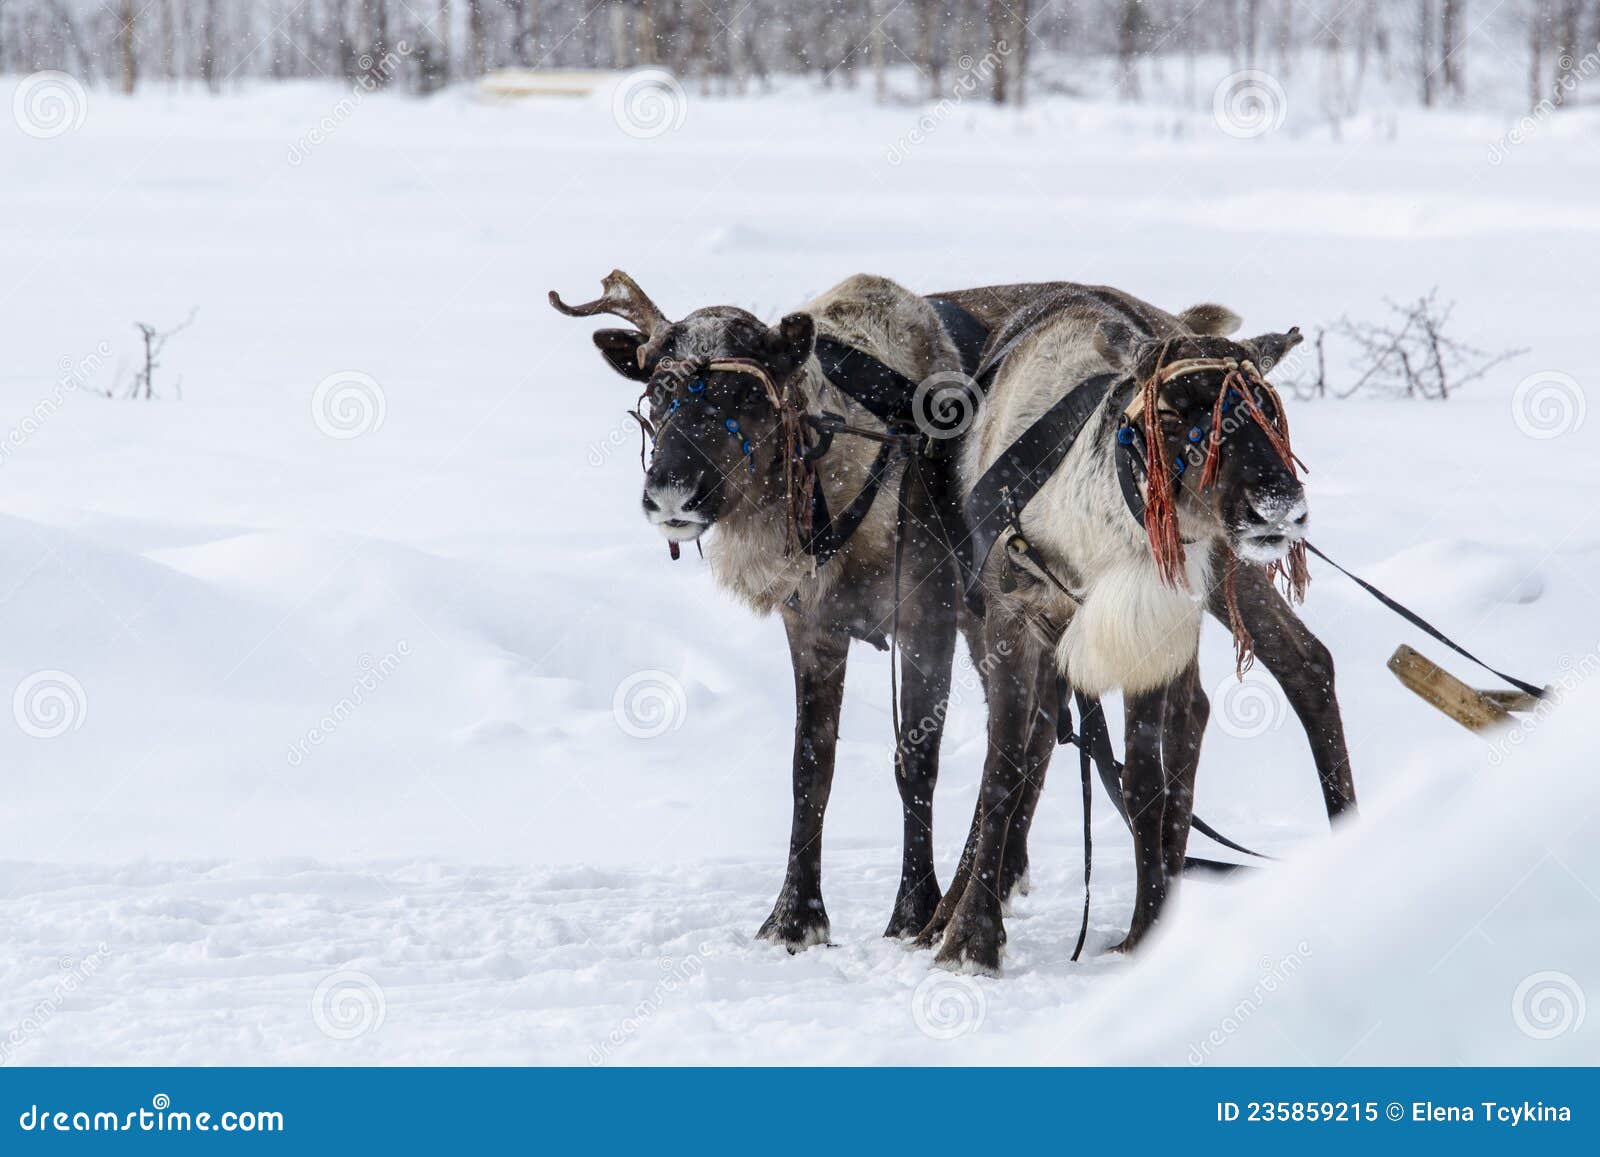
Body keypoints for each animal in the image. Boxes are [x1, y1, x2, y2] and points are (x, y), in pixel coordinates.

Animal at [550, 270, 977, 950]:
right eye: (657, 391)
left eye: (745, 393)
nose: (669, 493)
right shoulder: (811, 626)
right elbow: (810, 767)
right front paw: (793, 919)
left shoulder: (928, 617)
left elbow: (915, 762)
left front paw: (913, 913)